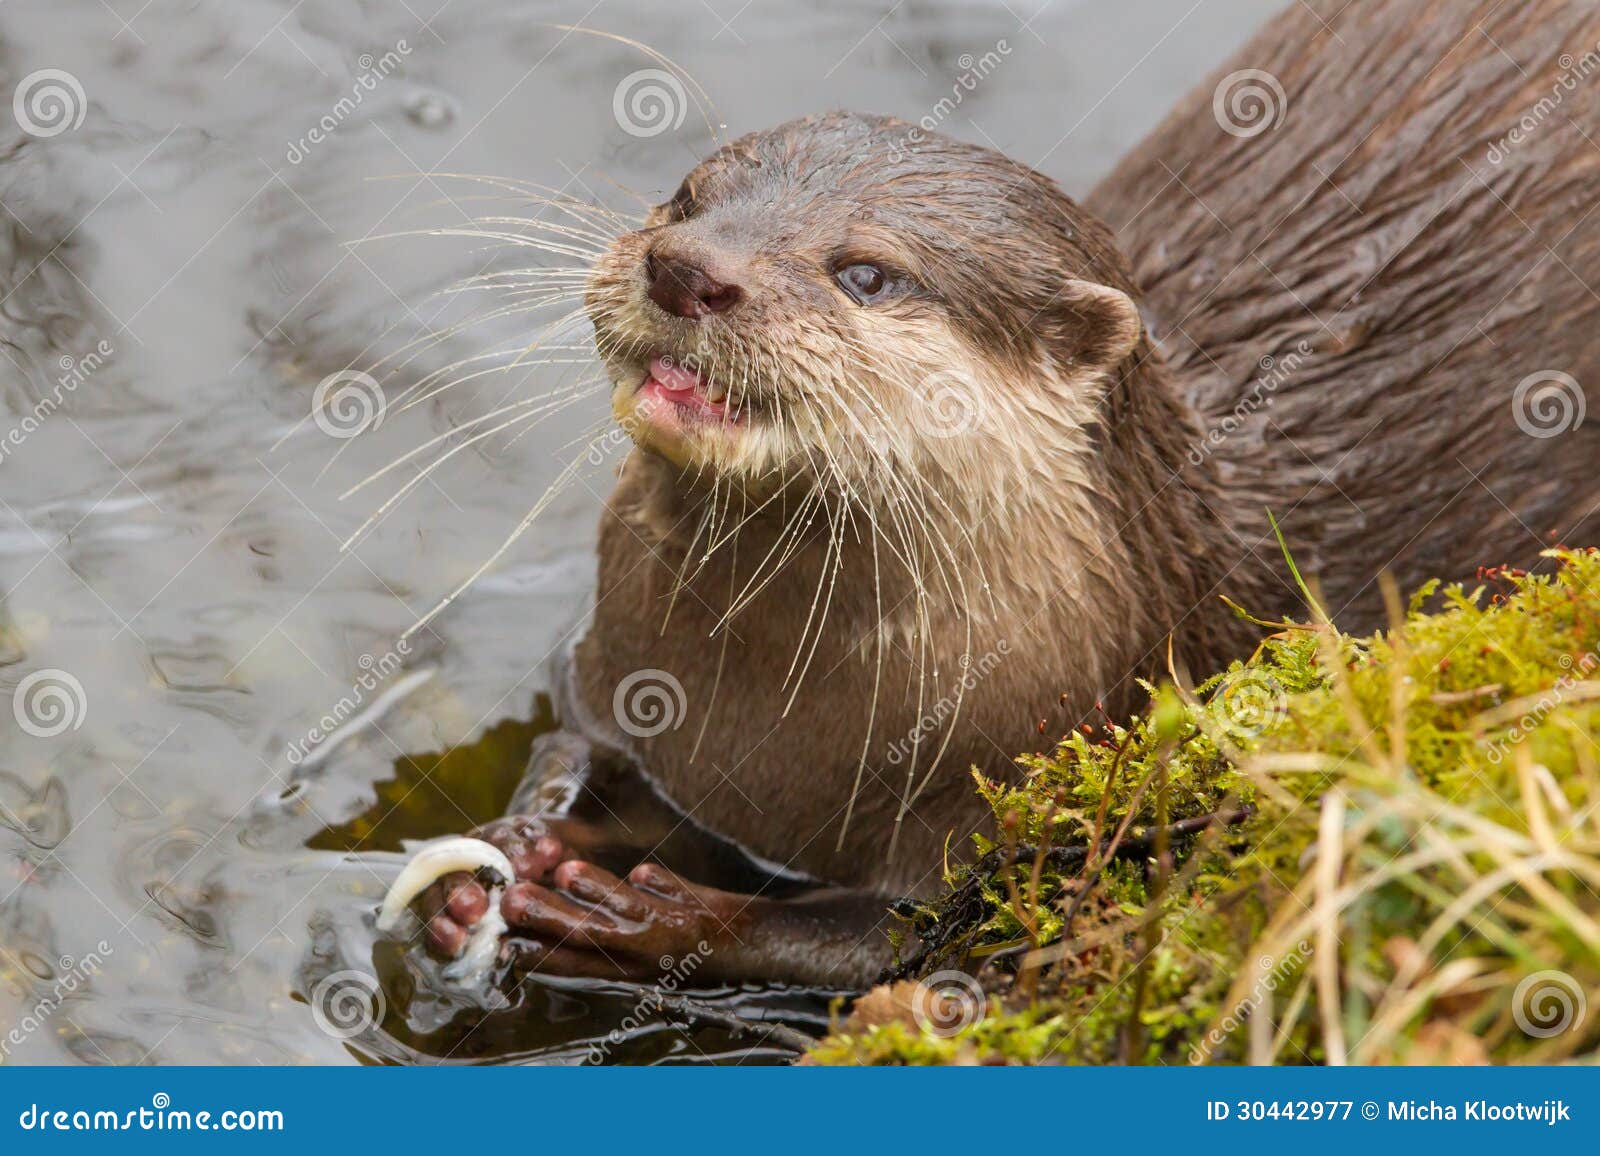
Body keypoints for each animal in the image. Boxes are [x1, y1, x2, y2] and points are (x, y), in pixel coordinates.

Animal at [414, 0, 1600, 988]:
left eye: (867, 273)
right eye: (686, 197)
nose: (685, 268)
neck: (767, 731)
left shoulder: (1027, 771)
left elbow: (899, 938)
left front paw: (657, 916)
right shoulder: (611, 675)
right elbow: (576, 747)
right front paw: (513, 844)